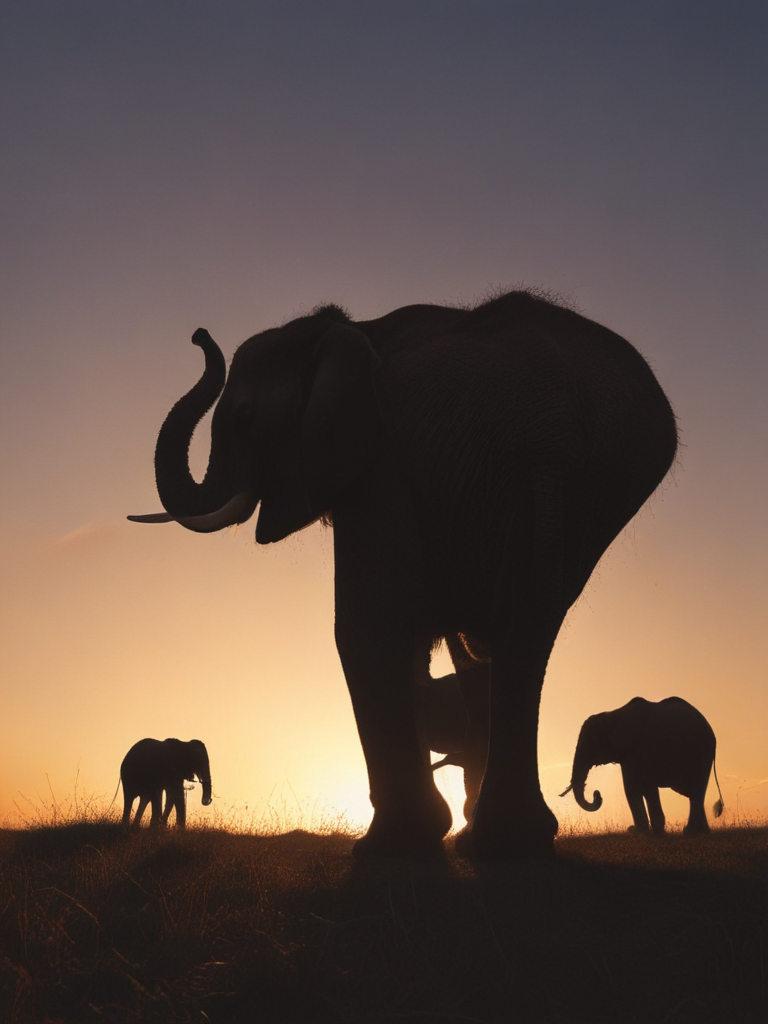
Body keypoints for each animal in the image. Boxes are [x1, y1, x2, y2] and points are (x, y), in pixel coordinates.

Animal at [129, 289, 677, 859]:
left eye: (244, 416)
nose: (198, 335)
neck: (350, 332)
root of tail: (548, 422)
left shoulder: (381, 463)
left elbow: (370, 623)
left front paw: (391, 849)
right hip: (572, 497)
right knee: (521, 638)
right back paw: (504, 842)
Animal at [560, 697, 724, 834]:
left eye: (590, 744)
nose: (597, 794)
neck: (614, 714)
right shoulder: (627, 757)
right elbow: (631, 789)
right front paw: (640, 832)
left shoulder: (643, 748)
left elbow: (646, 786)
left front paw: (655, 832)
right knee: (696, 793)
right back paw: (700, 832)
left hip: (702, 753)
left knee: (696, 791)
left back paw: (690, 832)